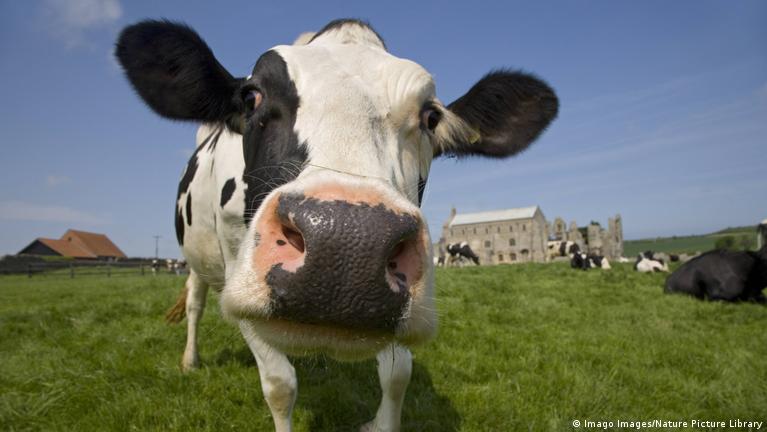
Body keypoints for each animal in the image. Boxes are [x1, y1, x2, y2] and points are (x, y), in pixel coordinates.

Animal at [116, 18, 557, 431]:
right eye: (252, 97)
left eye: (431, 116)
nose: (346, 244)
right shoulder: (237, 281)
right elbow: (280, 384)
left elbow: (398, 374)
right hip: (196, 261)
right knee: (194, 304)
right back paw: (190, 360)